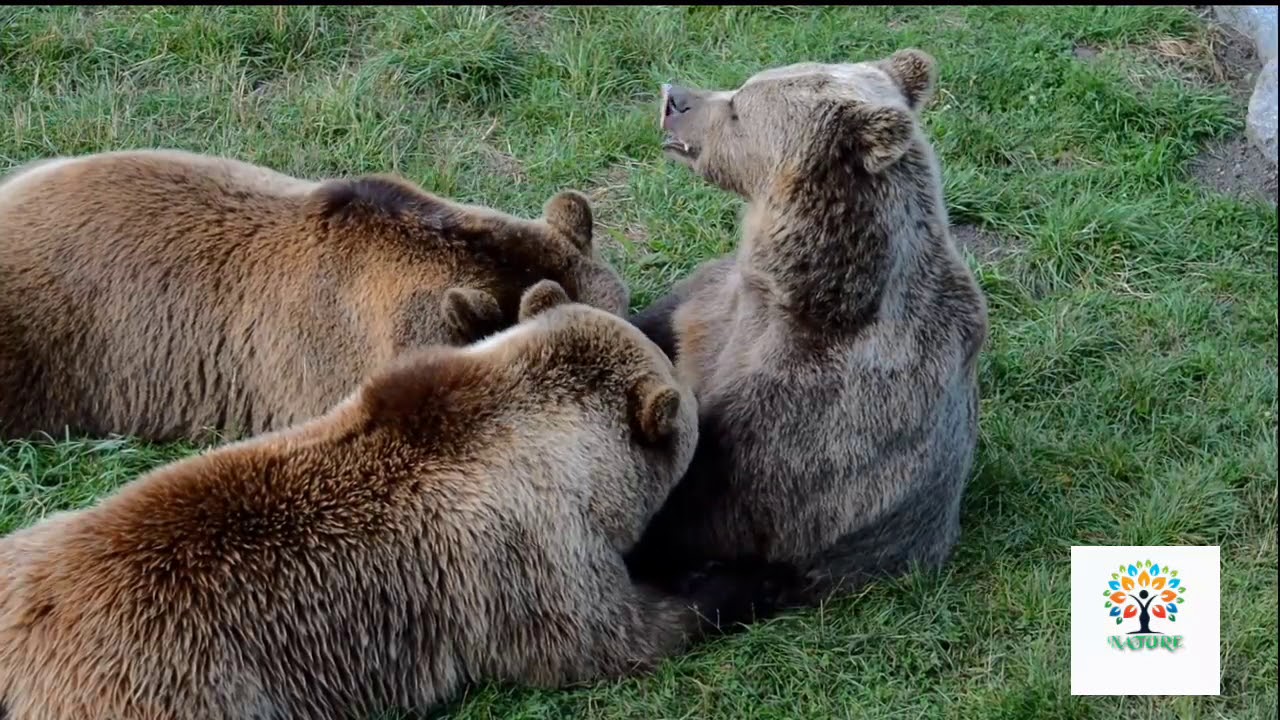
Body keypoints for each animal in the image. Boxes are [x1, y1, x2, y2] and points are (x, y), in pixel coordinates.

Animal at [0, 281, 782, 720]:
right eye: (692, 424)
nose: (697, 406)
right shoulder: (524, 557)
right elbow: (610, 637)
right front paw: (737, 580)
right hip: (173, 688)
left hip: (27, 546)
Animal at [624, 49, 990, 606]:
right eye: (742, 85)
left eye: (739, 108)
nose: (673, 97)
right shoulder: (717, 302)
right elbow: (662, 322)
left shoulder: (812, 404)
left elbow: (712, 496)